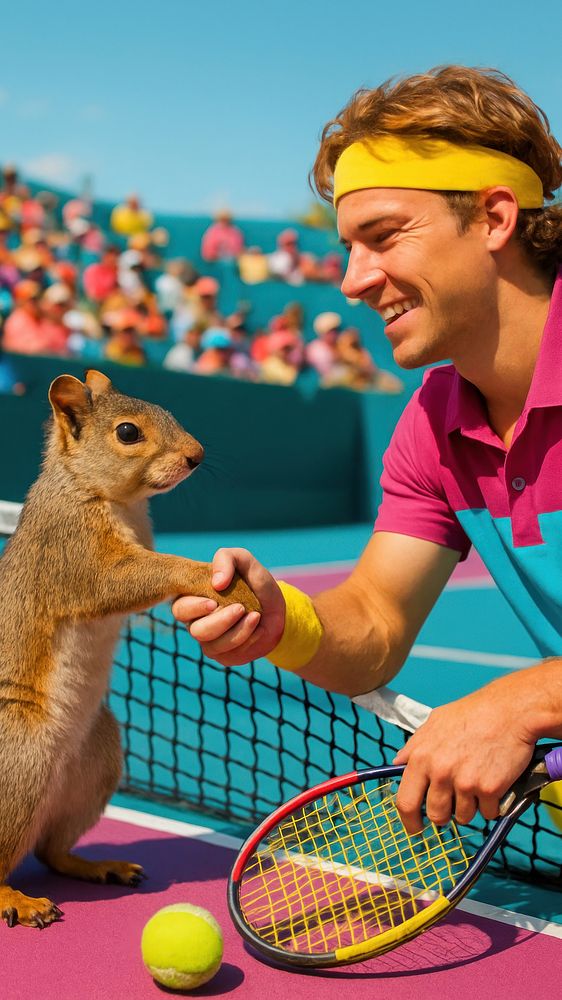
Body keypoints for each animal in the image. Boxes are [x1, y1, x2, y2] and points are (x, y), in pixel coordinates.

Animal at [0, 369, 260, 928]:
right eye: (127, 433)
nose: (197, 455)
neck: (104, 493)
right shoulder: (75, 551)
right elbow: (129, 578)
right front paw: (217, 582)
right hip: (20, 758)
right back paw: (16, 899)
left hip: (97, 760)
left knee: (50, 851)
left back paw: (98, 865)